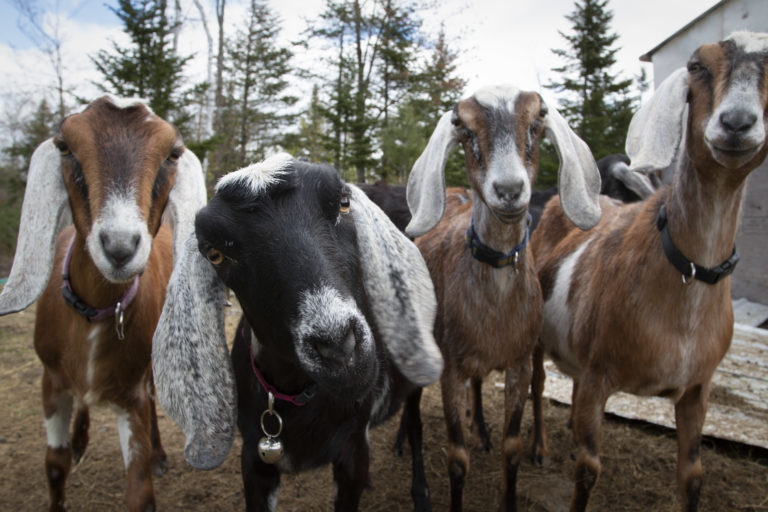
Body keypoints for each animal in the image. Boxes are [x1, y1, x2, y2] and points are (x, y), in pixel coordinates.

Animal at [0, 96, 206, 512]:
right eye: (64, 146)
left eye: (173, 154)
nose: (120, 247)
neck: (94, 313)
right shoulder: (51, 382)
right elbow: (55, 463)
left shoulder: (130, 393)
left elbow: (139, 489)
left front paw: (151, 461)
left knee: (151, 396)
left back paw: (158, 453)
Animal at [150, 153, 443, 511]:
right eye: (216, 254)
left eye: (343, 203)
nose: (340, 349)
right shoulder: (255, 460)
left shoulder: (353, 450)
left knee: (415, 422)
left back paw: (421, 490)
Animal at [404, 85, 601, 511]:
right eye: (462, 125)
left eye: (538, 118)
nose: (509, 189)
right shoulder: (451, 367)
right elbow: (456, 458)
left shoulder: (519, 362)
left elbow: (513, 448)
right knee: (412, 413)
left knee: (478, 387)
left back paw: (481, 430)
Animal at [530, 32, 768, 511]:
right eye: (697, 66)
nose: (736, 123)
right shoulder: (599, 375)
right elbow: (589, 471)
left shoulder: (697, 389)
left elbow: (692, 477)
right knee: (538, 384)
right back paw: (541, 448)